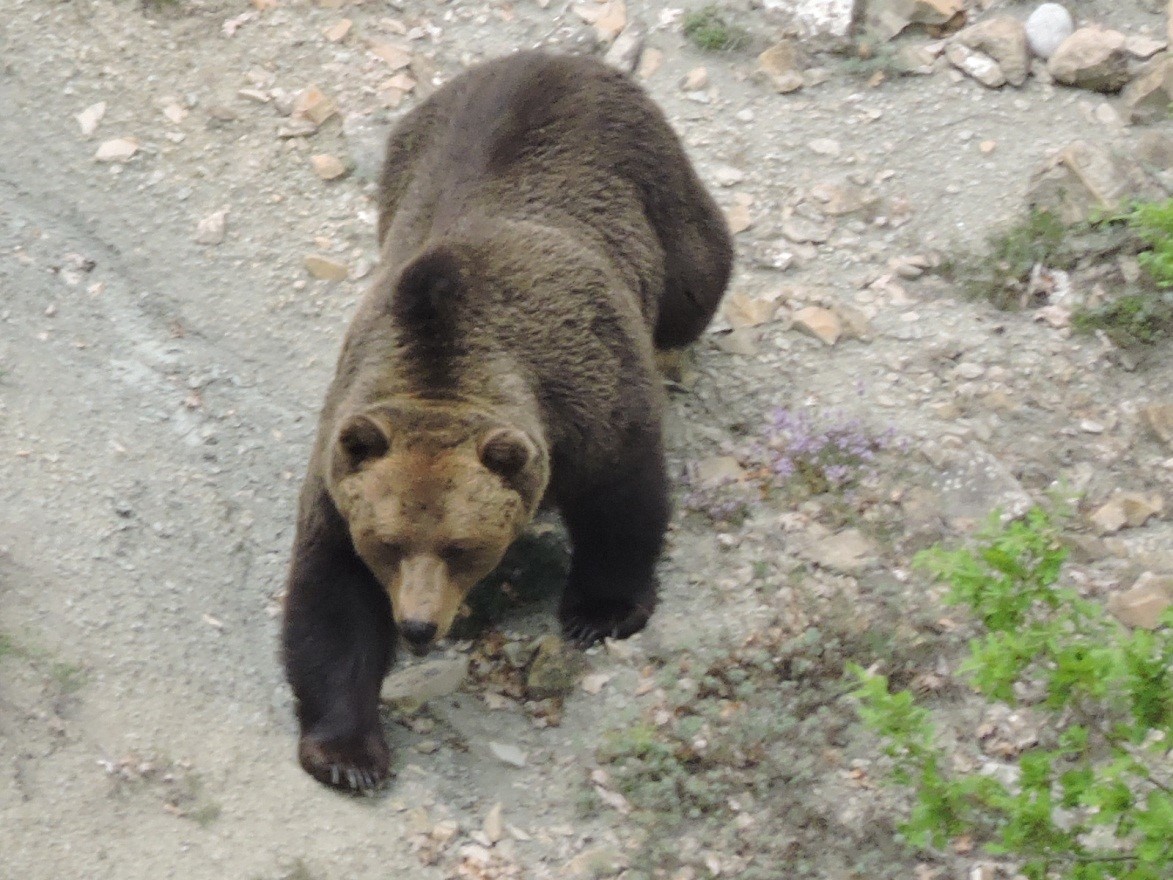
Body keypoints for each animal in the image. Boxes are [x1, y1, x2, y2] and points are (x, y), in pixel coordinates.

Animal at [281, 50, 733, 792]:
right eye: (388, 543)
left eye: (462, 546)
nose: (418, 626)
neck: (448, 372)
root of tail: (553, 56)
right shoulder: (345, 456)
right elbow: (331, 596)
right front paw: (348, 754)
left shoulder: (590, 402)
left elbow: (624, 502)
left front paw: (600, 611)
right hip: (407, 158)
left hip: (658, 190)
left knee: (699, 275)